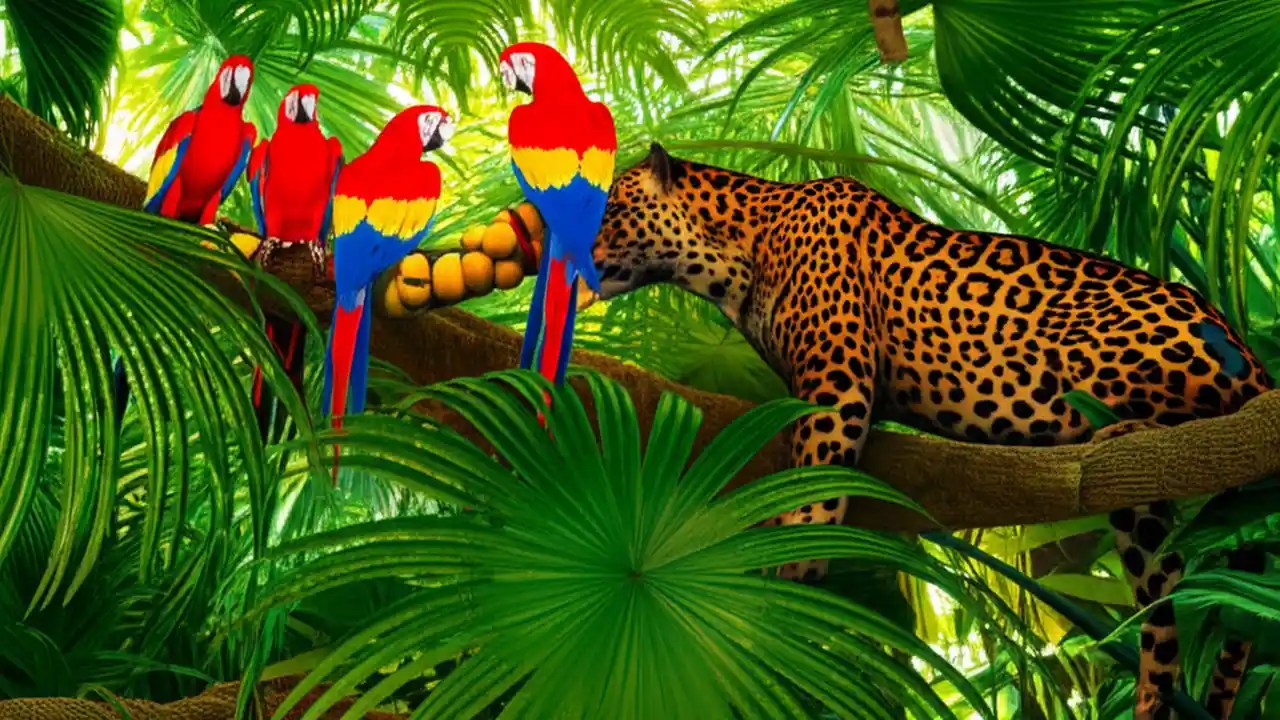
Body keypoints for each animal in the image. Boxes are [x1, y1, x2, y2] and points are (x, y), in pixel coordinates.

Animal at [586, 142, 1275, 720]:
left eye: (610, 210)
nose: (578, 258)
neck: (738, 248)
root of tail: (1241, 339)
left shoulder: (837, 388)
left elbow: (812, 501)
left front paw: (787, 599)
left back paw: (1114, 428)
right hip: (1141, 522)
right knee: (1167, 601)